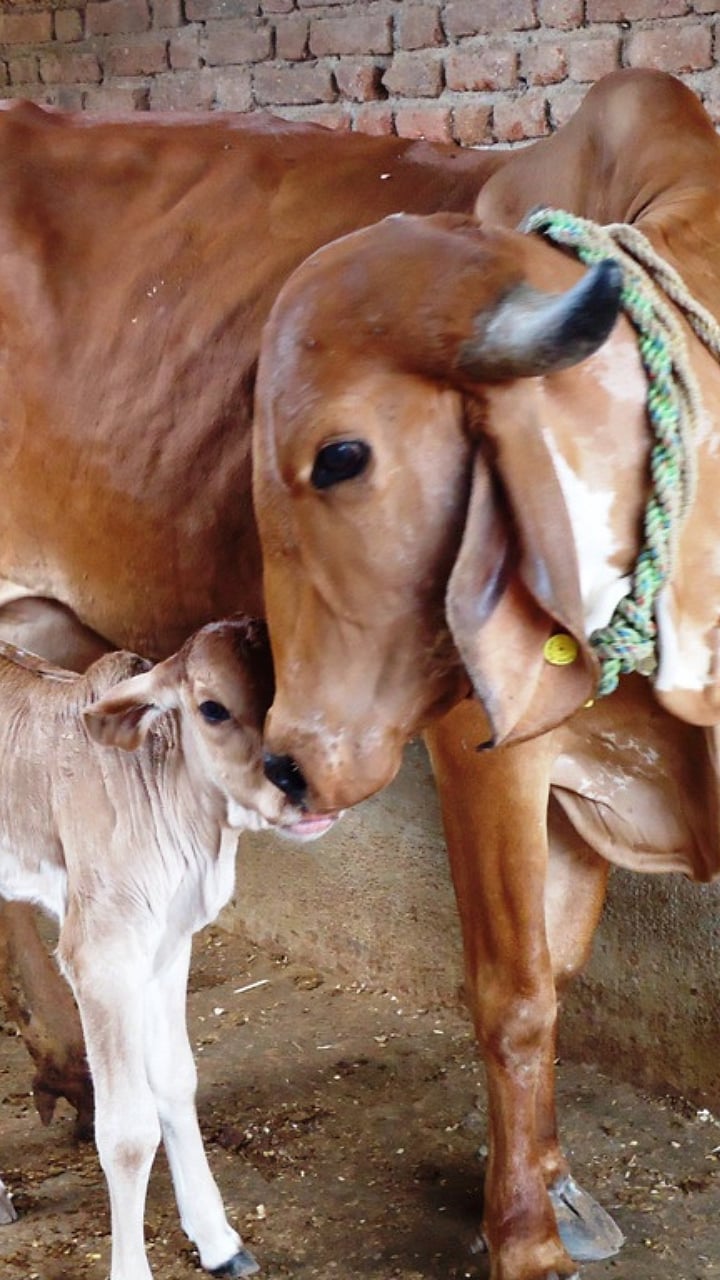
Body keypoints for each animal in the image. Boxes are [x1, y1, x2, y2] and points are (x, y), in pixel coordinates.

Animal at [0, 618, 335, 1280]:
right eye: (213, 708)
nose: (305, 786)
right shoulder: (101, 954)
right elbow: (127, 1133)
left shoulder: (168, 941)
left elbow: (177, 1081)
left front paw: (218, 1240)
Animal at [254, 68, 720, 1280]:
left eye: (342, 456)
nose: (286, 761)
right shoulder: (486, 746)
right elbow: (517, 990)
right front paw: (525, 1235)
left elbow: (554, 970)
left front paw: (554, 1195)